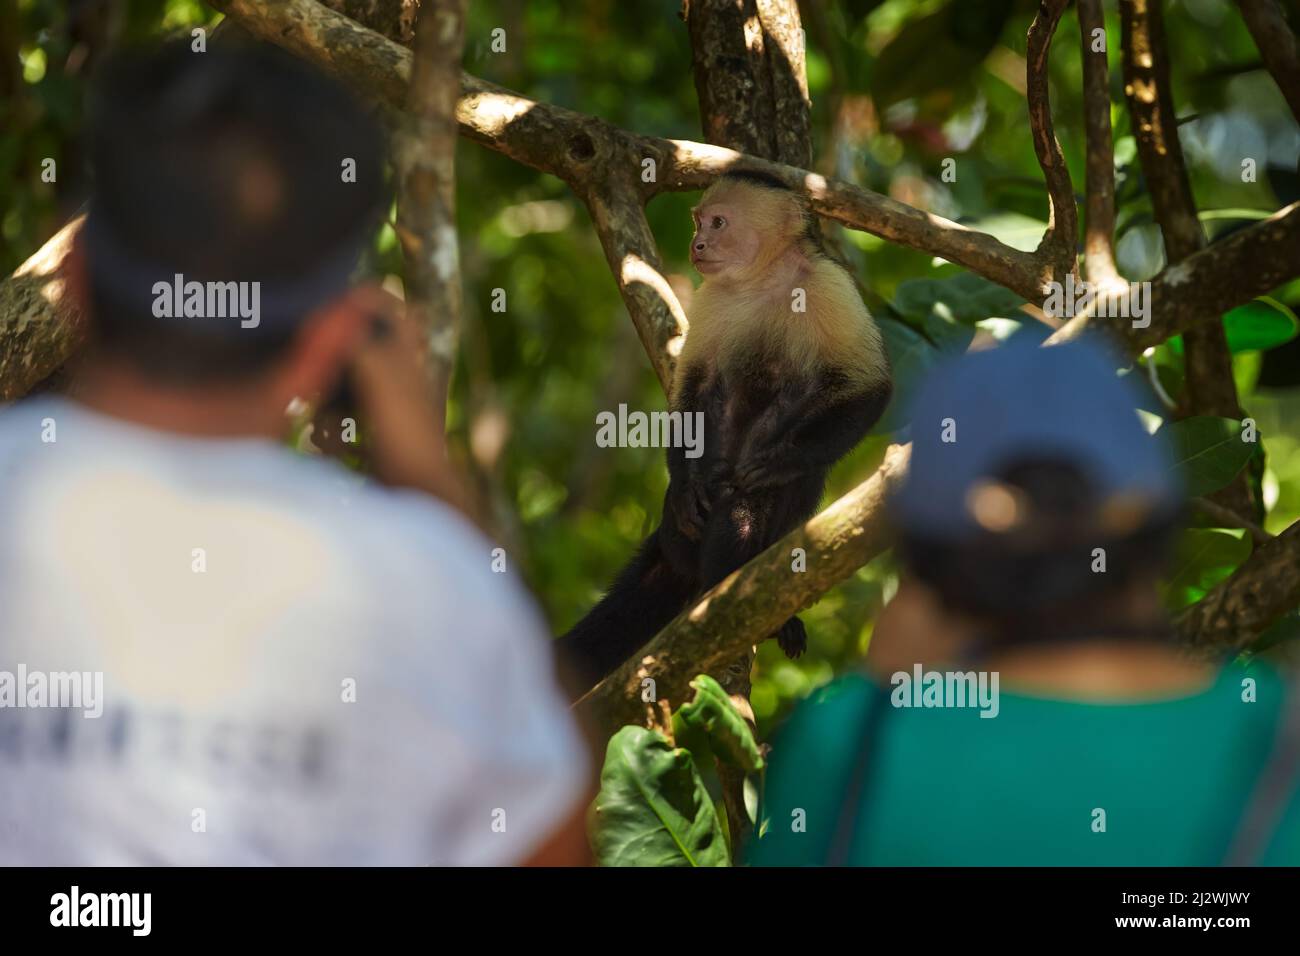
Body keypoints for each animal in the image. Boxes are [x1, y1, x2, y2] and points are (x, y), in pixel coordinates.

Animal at [556, 170, 892, 691]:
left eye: (718, 223)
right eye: (699, 222)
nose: (697, 244)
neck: (764, 280)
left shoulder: (829, 285)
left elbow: (869, 386)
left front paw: (780, 461)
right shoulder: (711, 296)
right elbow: (691, 388)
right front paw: (683, 487)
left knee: (748, 502)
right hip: (679, 538)